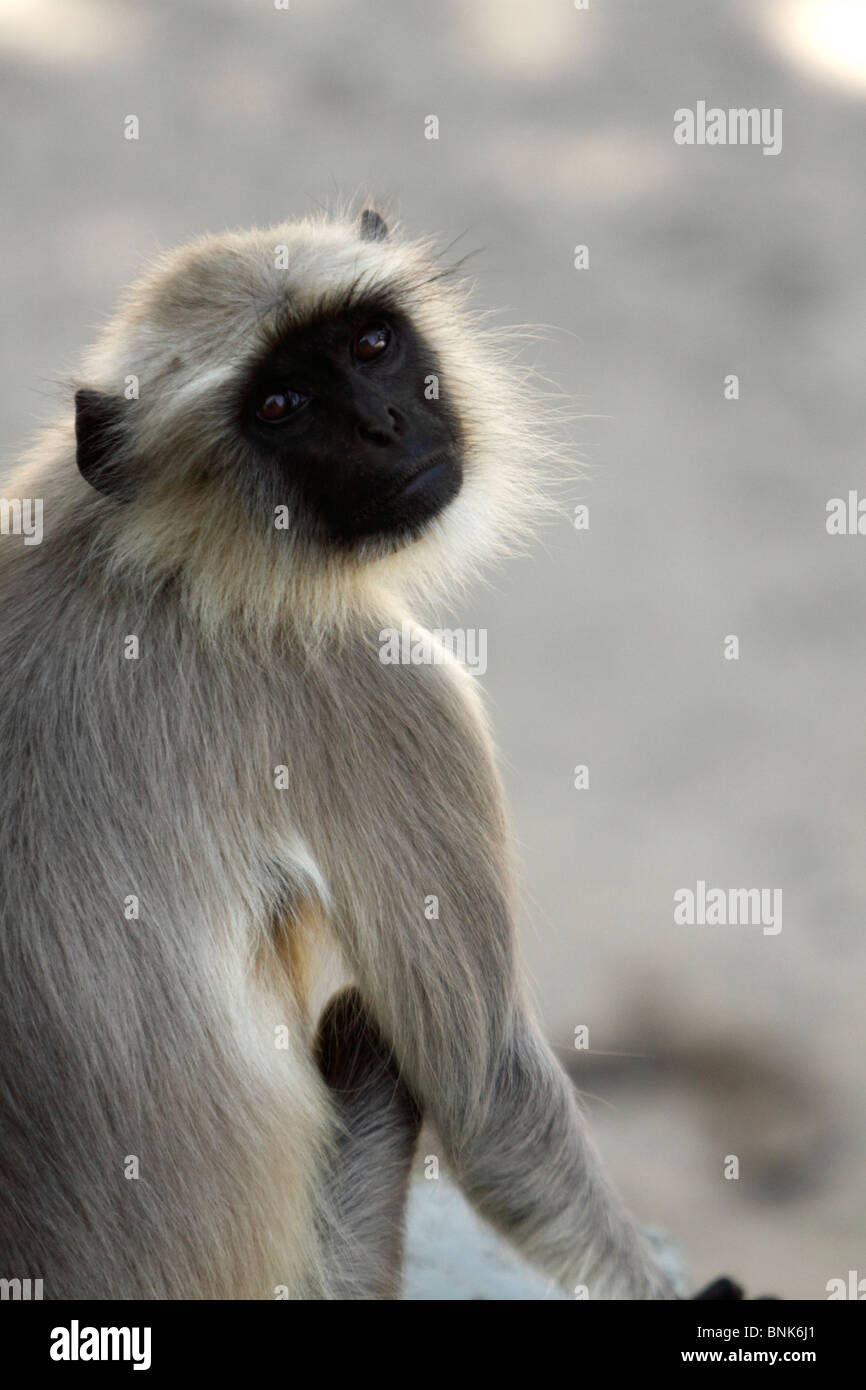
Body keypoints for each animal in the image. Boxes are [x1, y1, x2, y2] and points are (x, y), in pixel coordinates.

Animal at [0, 206, 744, 1300]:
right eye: (280, 404)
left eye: (369, 344)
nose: (386, 425)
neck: (162, 547)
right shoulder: (384, 686)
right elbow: (489, 1094)